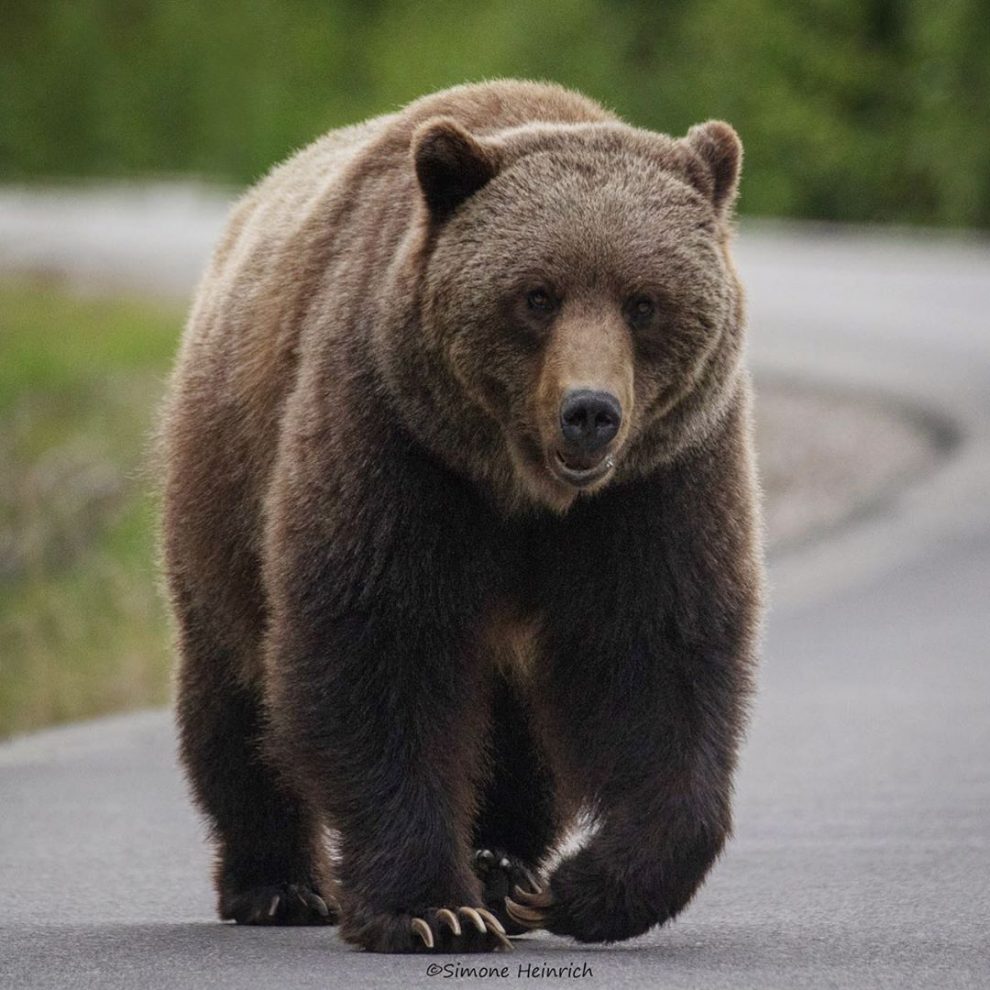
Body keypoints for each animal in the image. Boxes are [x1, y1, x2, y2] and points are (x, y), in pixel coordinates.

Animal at [160, 79, 764, 953]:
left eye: (644, 302)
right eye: (536, 295)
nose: (590, 412)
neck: (521, 488)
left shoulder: (660, 482)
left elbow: (656, 655)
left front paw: (586, 892)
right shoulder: (396, 444)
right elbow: (380, 649)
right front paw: (434, 909)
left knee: (522, 729)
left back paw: (505, 866)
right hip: (221, 484)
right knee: (232, 690)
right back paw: (276, 883)